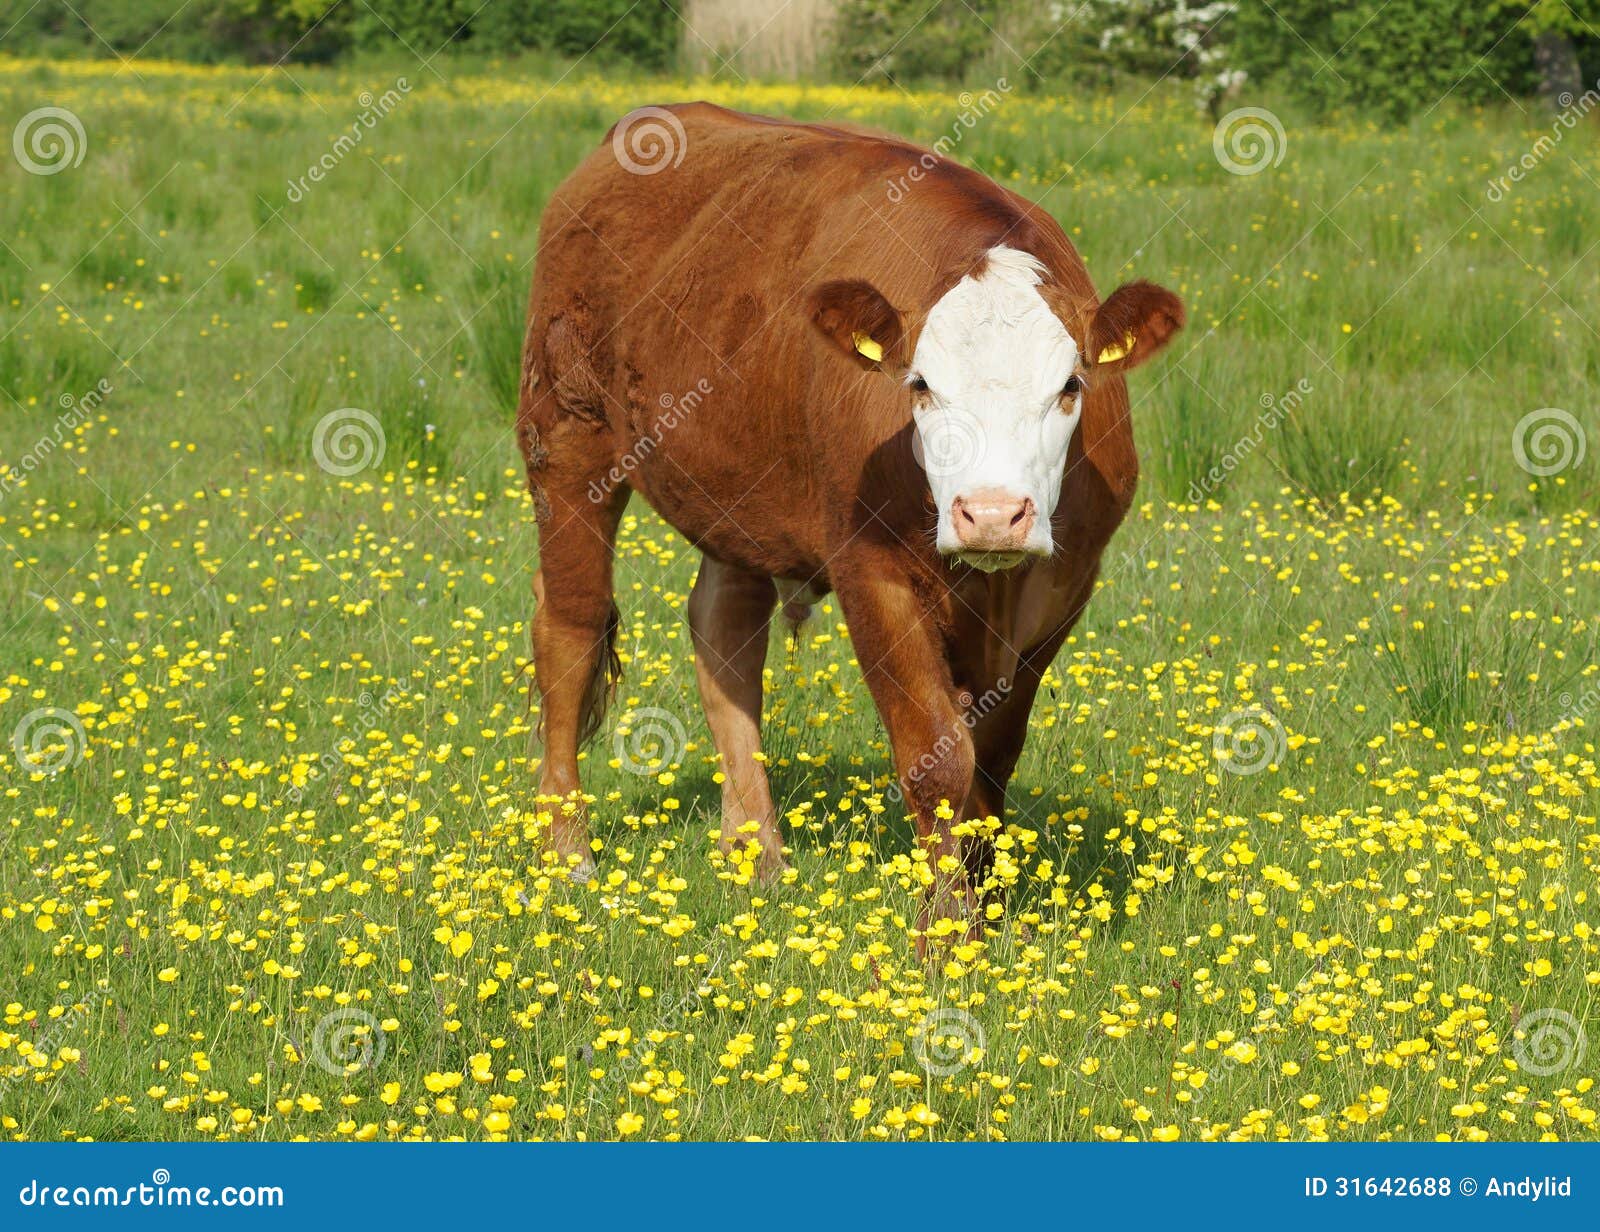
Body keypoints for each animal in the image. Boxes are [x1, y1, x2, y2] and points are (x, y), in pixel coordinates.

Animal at [518, 102, 1183, 942]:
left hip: (737, 484)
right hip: (567, 436)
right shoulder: (873, 571)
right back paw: (567, 850)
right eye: (920, 385)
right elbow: (939, 757)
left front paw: (988, 904)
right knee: (569, 628)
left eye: (1071, 386)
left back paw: (756, 851)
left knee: (725, 632)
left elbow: (996, 752)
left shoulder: (1067, 583)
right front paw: (948, 933)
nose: (991, 514)